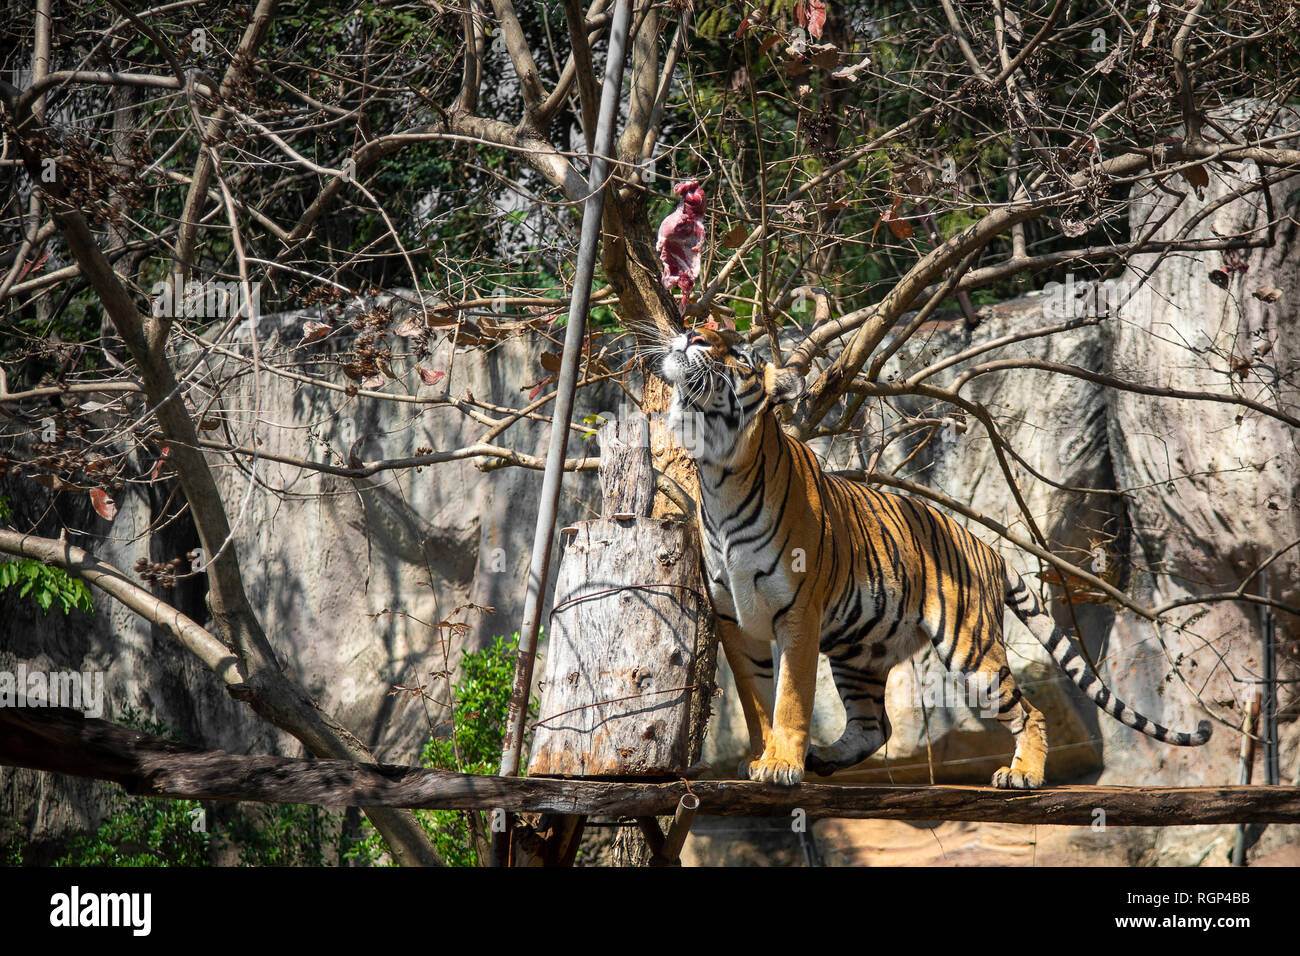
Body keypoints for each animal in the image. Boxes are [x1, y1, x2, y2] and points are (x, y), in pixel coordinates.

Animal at [659, 326, 1212, 788]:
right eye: (704, 328)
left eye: (742, 356)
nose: (690, 335)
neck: (719, 470)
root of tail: (987, 548)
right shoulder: (733, 617)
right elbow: (757, 701)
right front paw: (763, 756)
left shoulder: (797, 612)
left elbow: (790, 698)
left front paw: (780, 765)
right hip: (859, 650)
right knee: (874, 726)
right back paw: (824, 757)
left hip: (970, 649)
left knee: (1027, 711)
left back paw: (1023, 775)